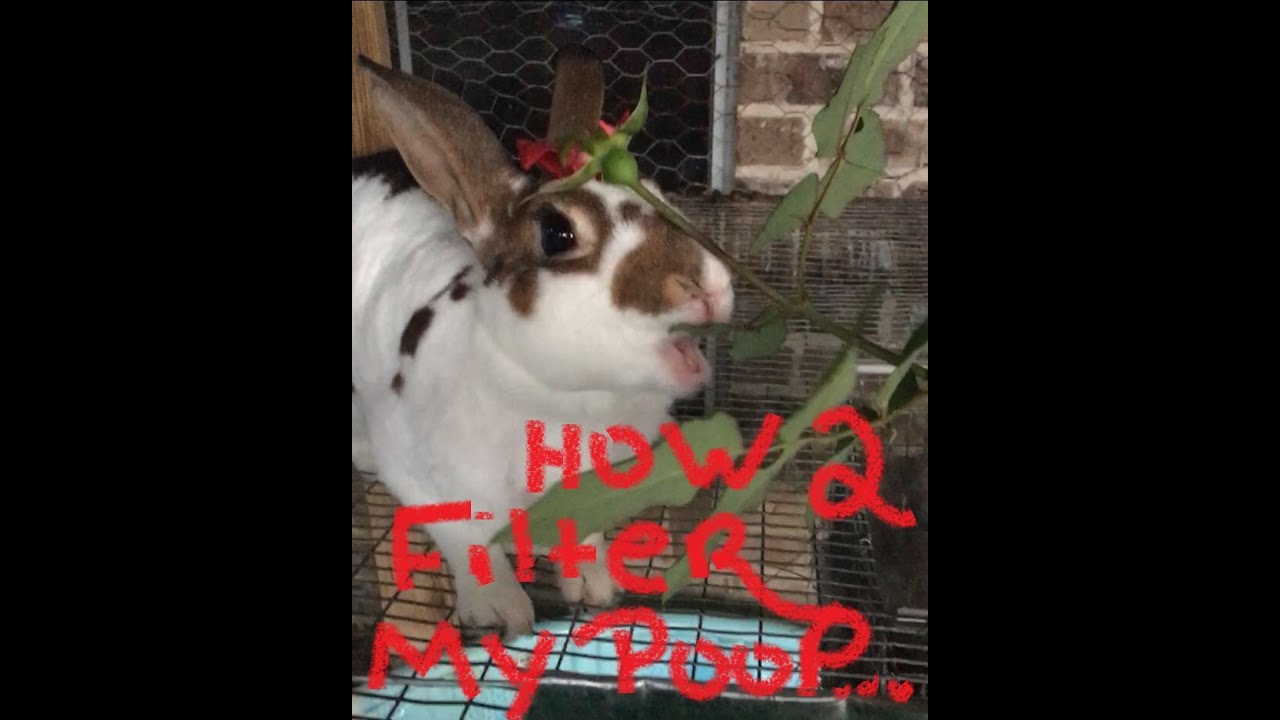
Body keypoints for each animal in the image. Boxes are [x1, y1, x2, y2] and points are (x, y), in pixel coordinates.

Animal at [352, 45, 735, 639]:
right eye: (557, 233)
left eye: (660, 194)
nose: (708, 286)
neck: (565, 402)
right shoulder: (415, 474)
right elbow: (467, 545)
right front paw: (500, 613)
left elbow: (585, 536)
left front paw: (596, 588)